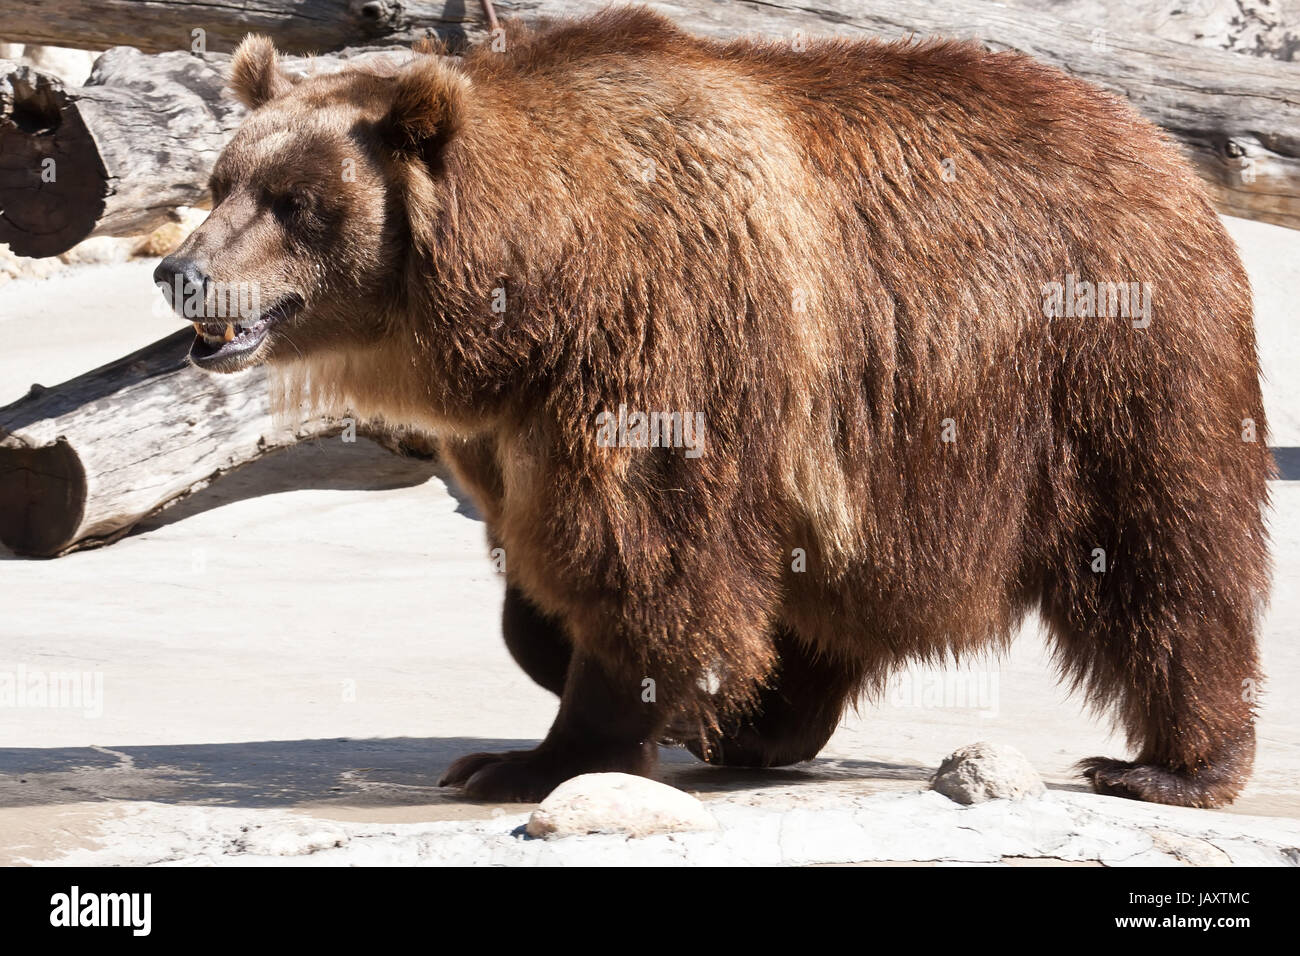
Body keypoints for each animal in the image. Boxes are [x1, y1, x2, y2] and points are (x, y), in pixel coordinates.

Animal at [154, 7, 1273, 807]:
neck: (529, 298)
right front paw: (638, 683)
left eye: (298, 201)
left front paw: (535, 755)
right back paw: (772, 721)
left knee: (1164, 555)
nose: (181, 272)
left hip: (1107, 367)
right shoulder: (508, 425)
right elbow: (558, 570)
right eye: (222, 179)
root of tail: (1159, 150)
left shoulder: (665, 347)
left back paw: (1170, 764)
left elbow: (649, 561)